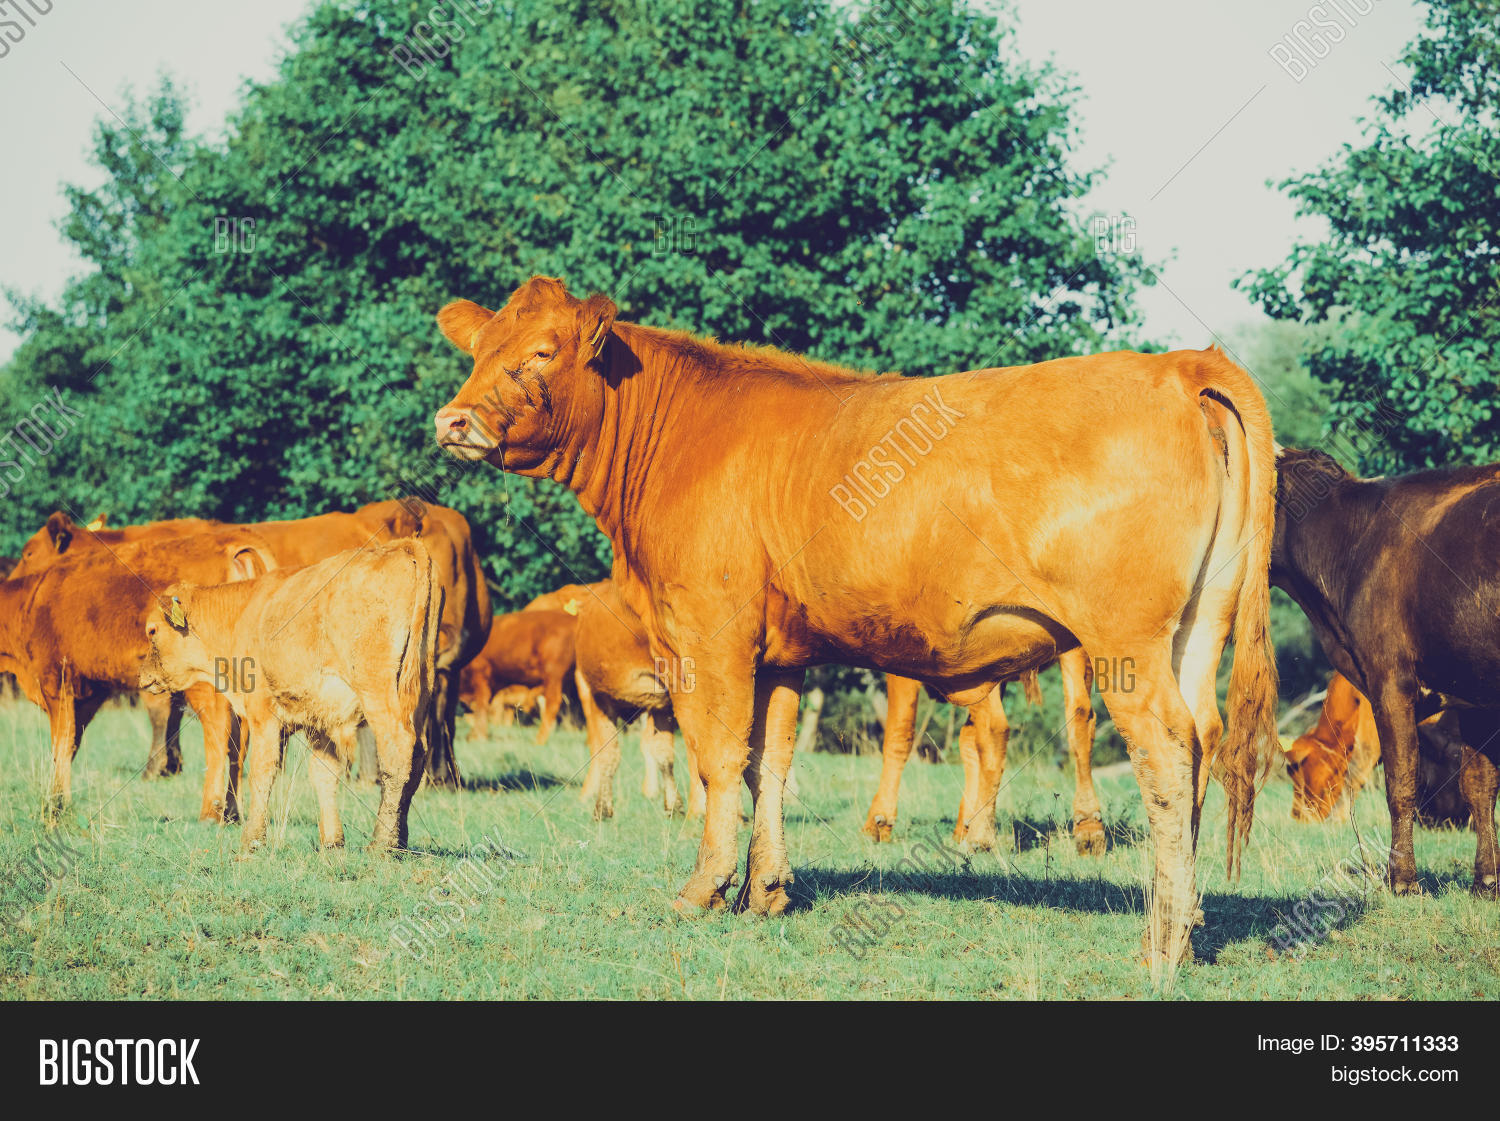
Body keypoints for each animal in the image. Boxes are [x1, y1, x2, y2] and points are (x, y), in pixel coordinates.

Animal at [0, 528, 276, 821]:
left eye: (28, 553)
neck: (31, 602)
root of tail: (236, 546)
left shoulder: (56, 683)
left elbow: (61, 744)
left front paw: (56, 805)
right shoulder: (86, 694)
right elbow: (72, 743)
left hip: (204, 686)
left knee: (218, 734)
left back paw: (210, 812)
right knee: (240, 742)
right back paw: (233, 812)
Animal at [139, 540, 441, 853]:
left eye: (152, 630)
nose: (143, 675)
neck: (242, 614)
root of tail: (400, 548)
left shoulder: (263, 714)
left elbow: (262, 771)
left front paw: (252, 841)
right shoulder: (321, 723)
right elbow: (323, 773)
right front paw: (332, 841)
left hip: (377, 694)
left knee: (397, 752)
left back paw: (382, 844)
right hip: (420, 692)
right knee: (417, 757)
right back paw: (400, 840)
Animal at [458, 609, 577, 744]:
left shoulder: (481, 676)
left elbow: (481, 706)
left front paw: (478, 737)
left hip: (553, 675)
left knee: (553, 703)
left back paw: (538, 740)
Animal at [865, 647, 1104, 855]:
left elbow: (898, 734)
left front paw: (878, 823)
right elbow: (969, 742)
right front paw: (964, 825)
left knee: (995, 727)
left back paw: (980, 839)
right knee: (1081, 714)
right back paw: (1090, 830)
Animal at [1272, 448, 1500, 898]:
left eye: (1298, 766)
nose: (1299, 818)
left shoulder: (1390, 683)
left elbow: (1399, 779)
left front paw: (1403, 881)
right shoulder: (1473, 691)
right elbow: (1479, 784)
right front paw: (1486, 880)